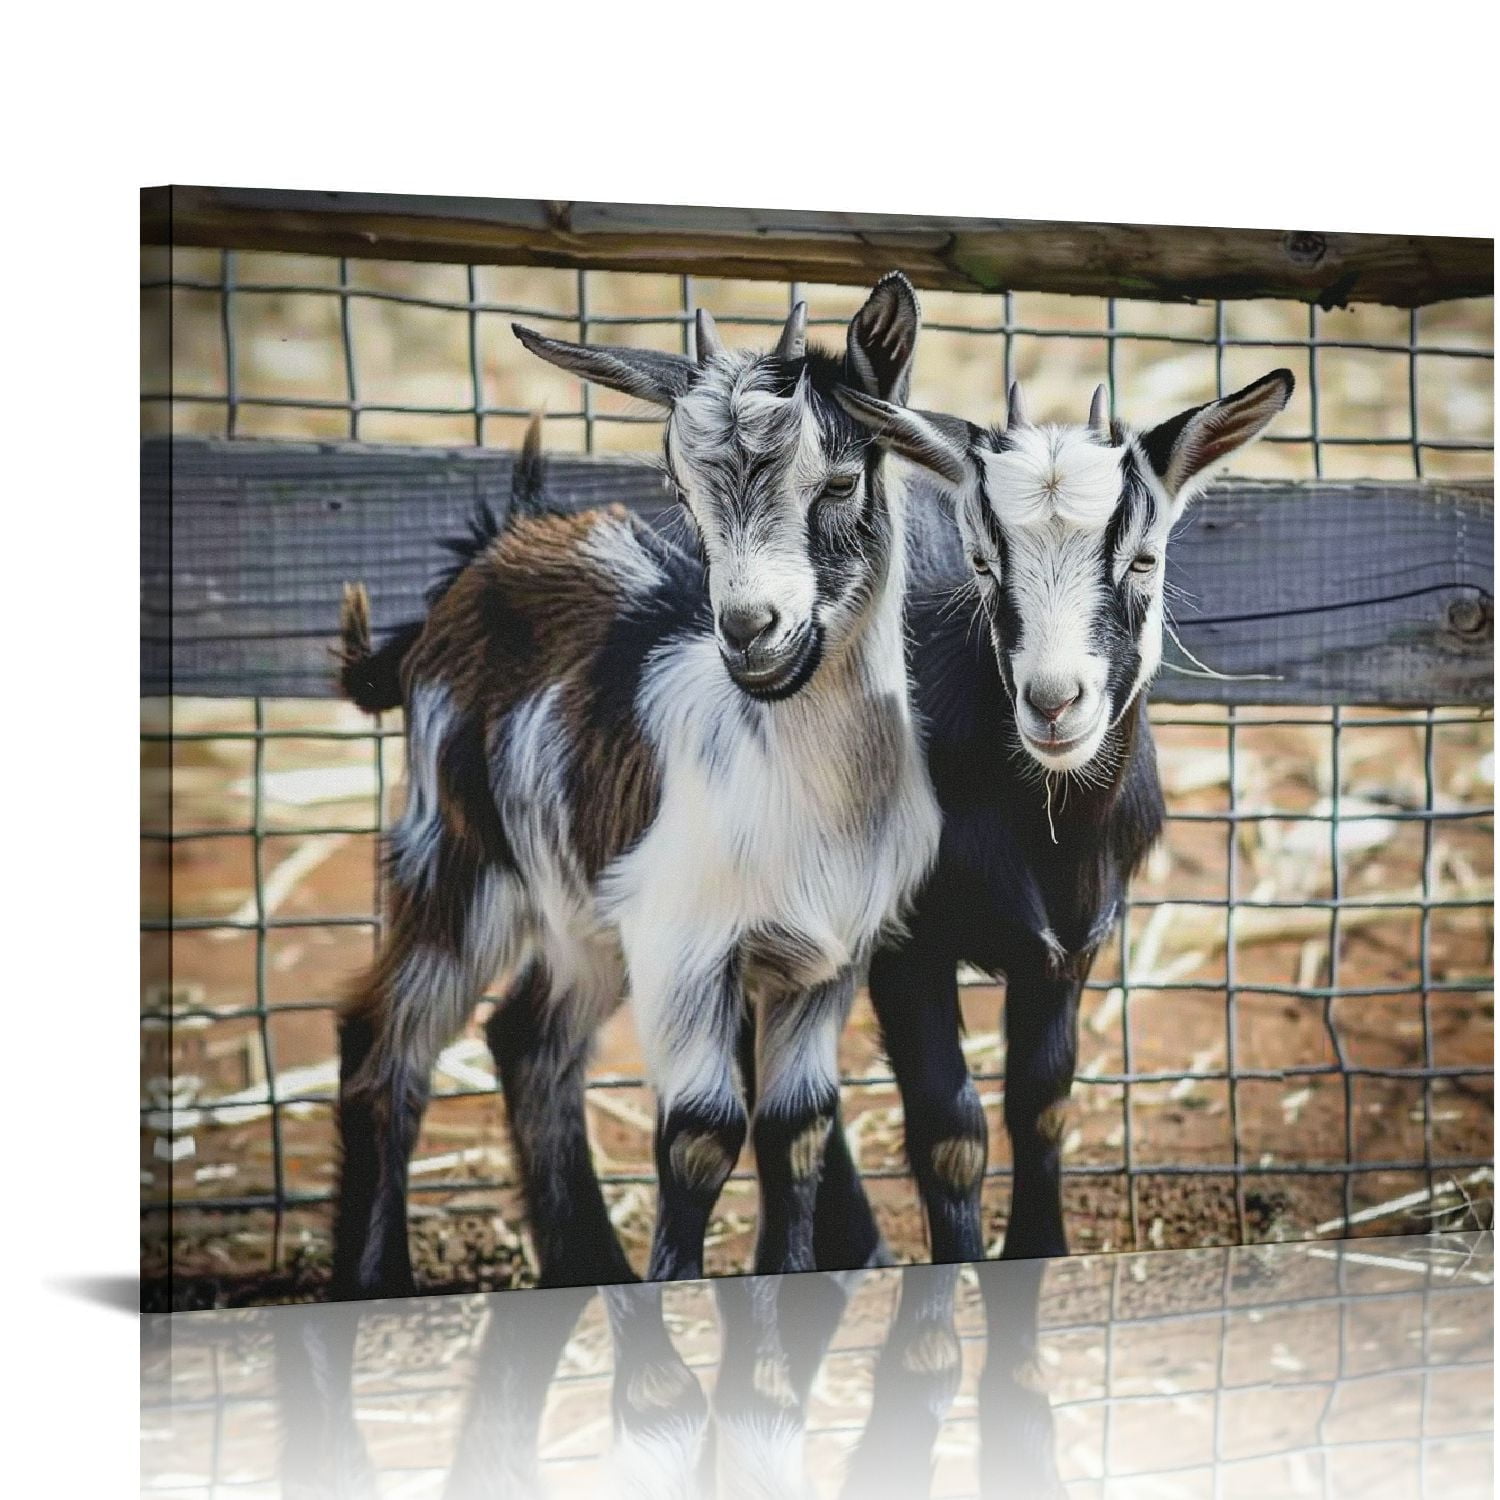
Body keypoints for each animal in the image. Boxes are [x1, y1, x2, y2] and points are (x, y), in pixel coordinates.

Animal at [329, 274, 943, 1298]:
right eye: (679, 491)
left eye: (839, 481)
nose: (749, 631)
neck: (802, 796)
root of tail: (497, 545)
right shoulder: (686, 951)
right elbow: (701, 1136)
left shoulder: (826, 962)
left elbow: (798, 1129)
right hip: (455, 854)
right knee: (387, 1039)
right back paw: (374, 1282)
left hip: (586, 909)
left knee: (528, 1039)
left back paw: (583, 1263)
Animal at [834, 368, 1295, 1260]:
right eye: (983, 564)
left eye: (1144, 558)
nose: (1053, 704)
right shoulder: (905, 944)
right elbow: (951, 1135)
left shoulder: (1073, 944)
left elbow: (1042, 1105)